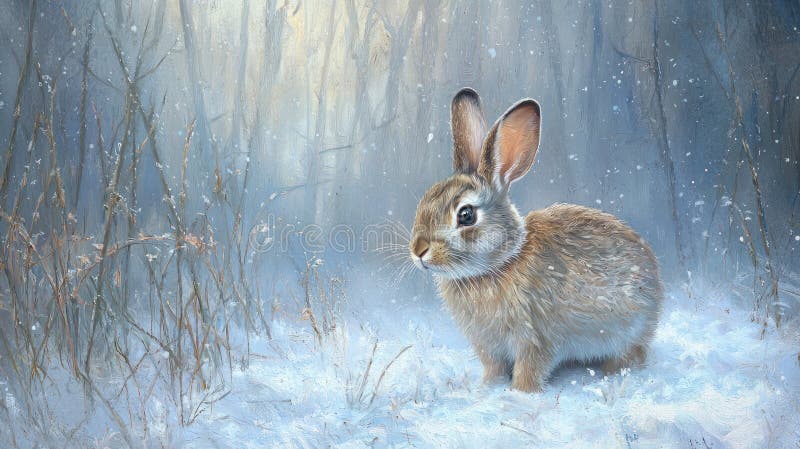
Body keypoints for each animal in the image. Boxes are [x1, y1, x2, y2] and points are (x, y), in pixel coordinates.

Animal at [409, 88, 664, 392]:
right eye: (425, 199)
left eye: (466, 215)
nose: (418, 250)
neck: (498, 265)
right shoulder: (488, 346)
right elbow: (494, 368)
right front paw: (487, 388)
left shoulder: (535, 338)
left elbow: (529, 371)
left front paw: (519, 394)